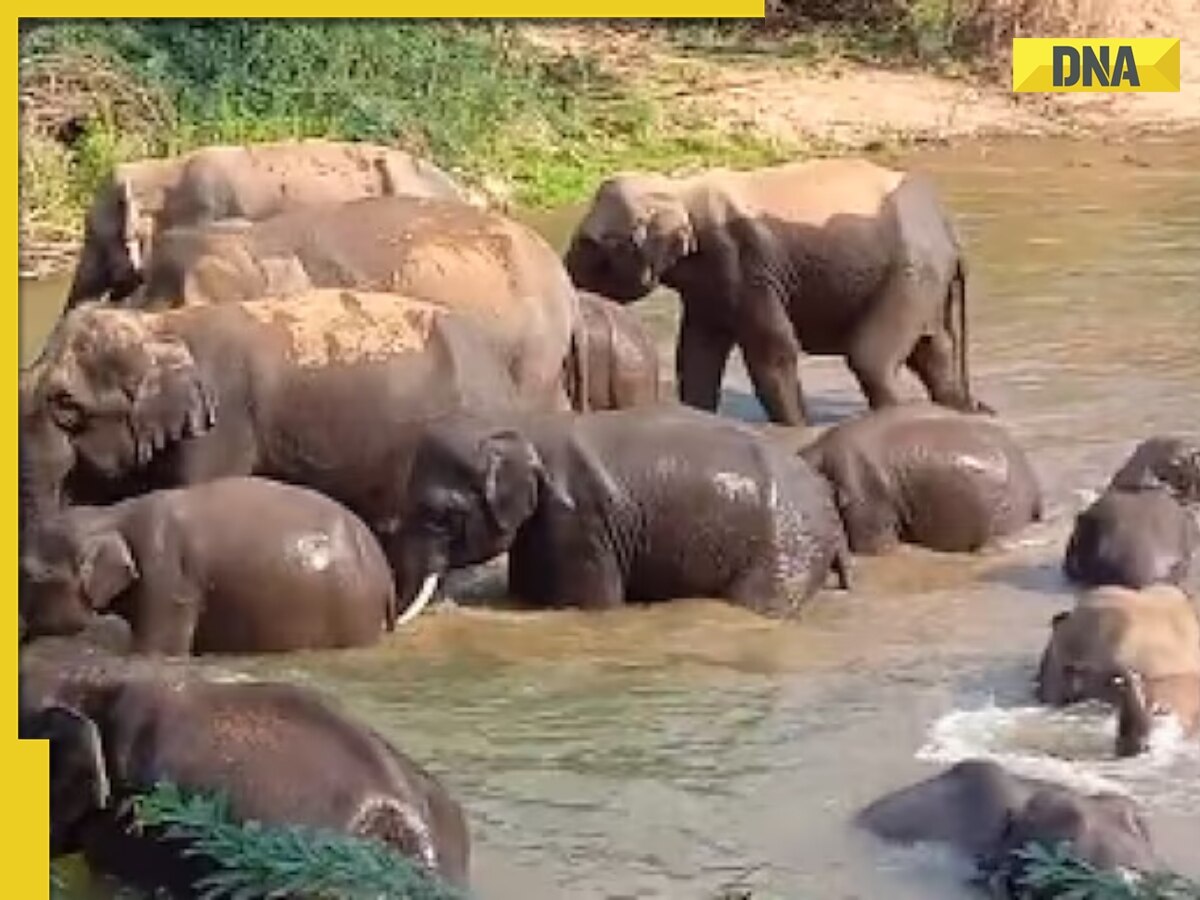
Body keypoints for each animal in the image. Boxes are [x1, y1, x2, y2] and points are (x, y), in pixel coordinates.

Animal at [20, 476, 398, 655]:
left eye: (29, 574)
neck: (110, 515)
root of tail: (385, 570)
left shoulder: (168, 577)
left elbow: (158, 649)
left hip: (353, 611)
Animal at [563, 158, 989, 426]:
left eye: (587, 243)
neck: (677, 188)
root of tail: (949, 229)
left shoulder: (747, 263)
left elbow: (772, 350)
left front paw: (796, 430)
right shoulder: (710, 286)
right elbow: (697, 353)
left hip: (911, 273)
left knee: (872, 358)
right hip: (923, 281)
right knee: (934, 354)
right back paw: (966, 413)